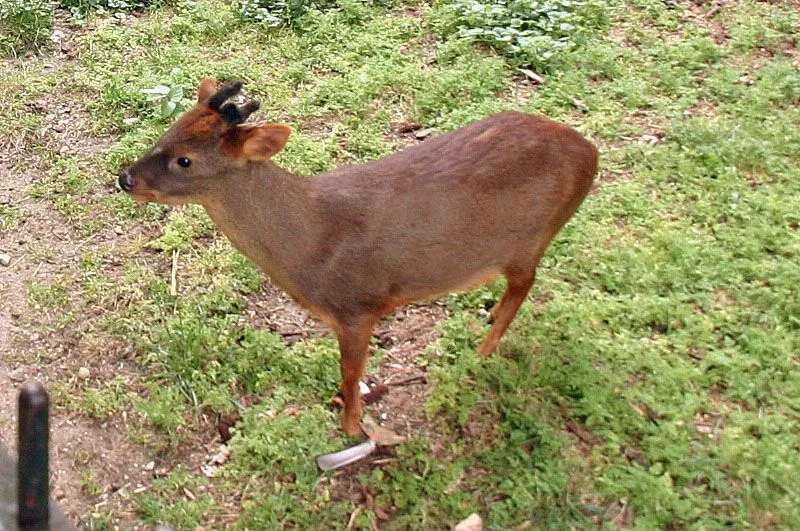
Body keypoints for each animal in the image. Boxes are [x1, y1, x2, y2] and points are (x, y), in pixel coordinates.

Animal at [117, 79, 592, 436]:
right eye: (167, 132)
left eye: (185, 160)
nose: (126, 178)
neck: (312, 246)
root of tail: (591, 152)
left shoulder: (358, 308)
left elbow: (351, 373)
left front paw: (350, 428)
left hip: (532, 236)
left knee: (525, 284)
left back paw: (484, 349)